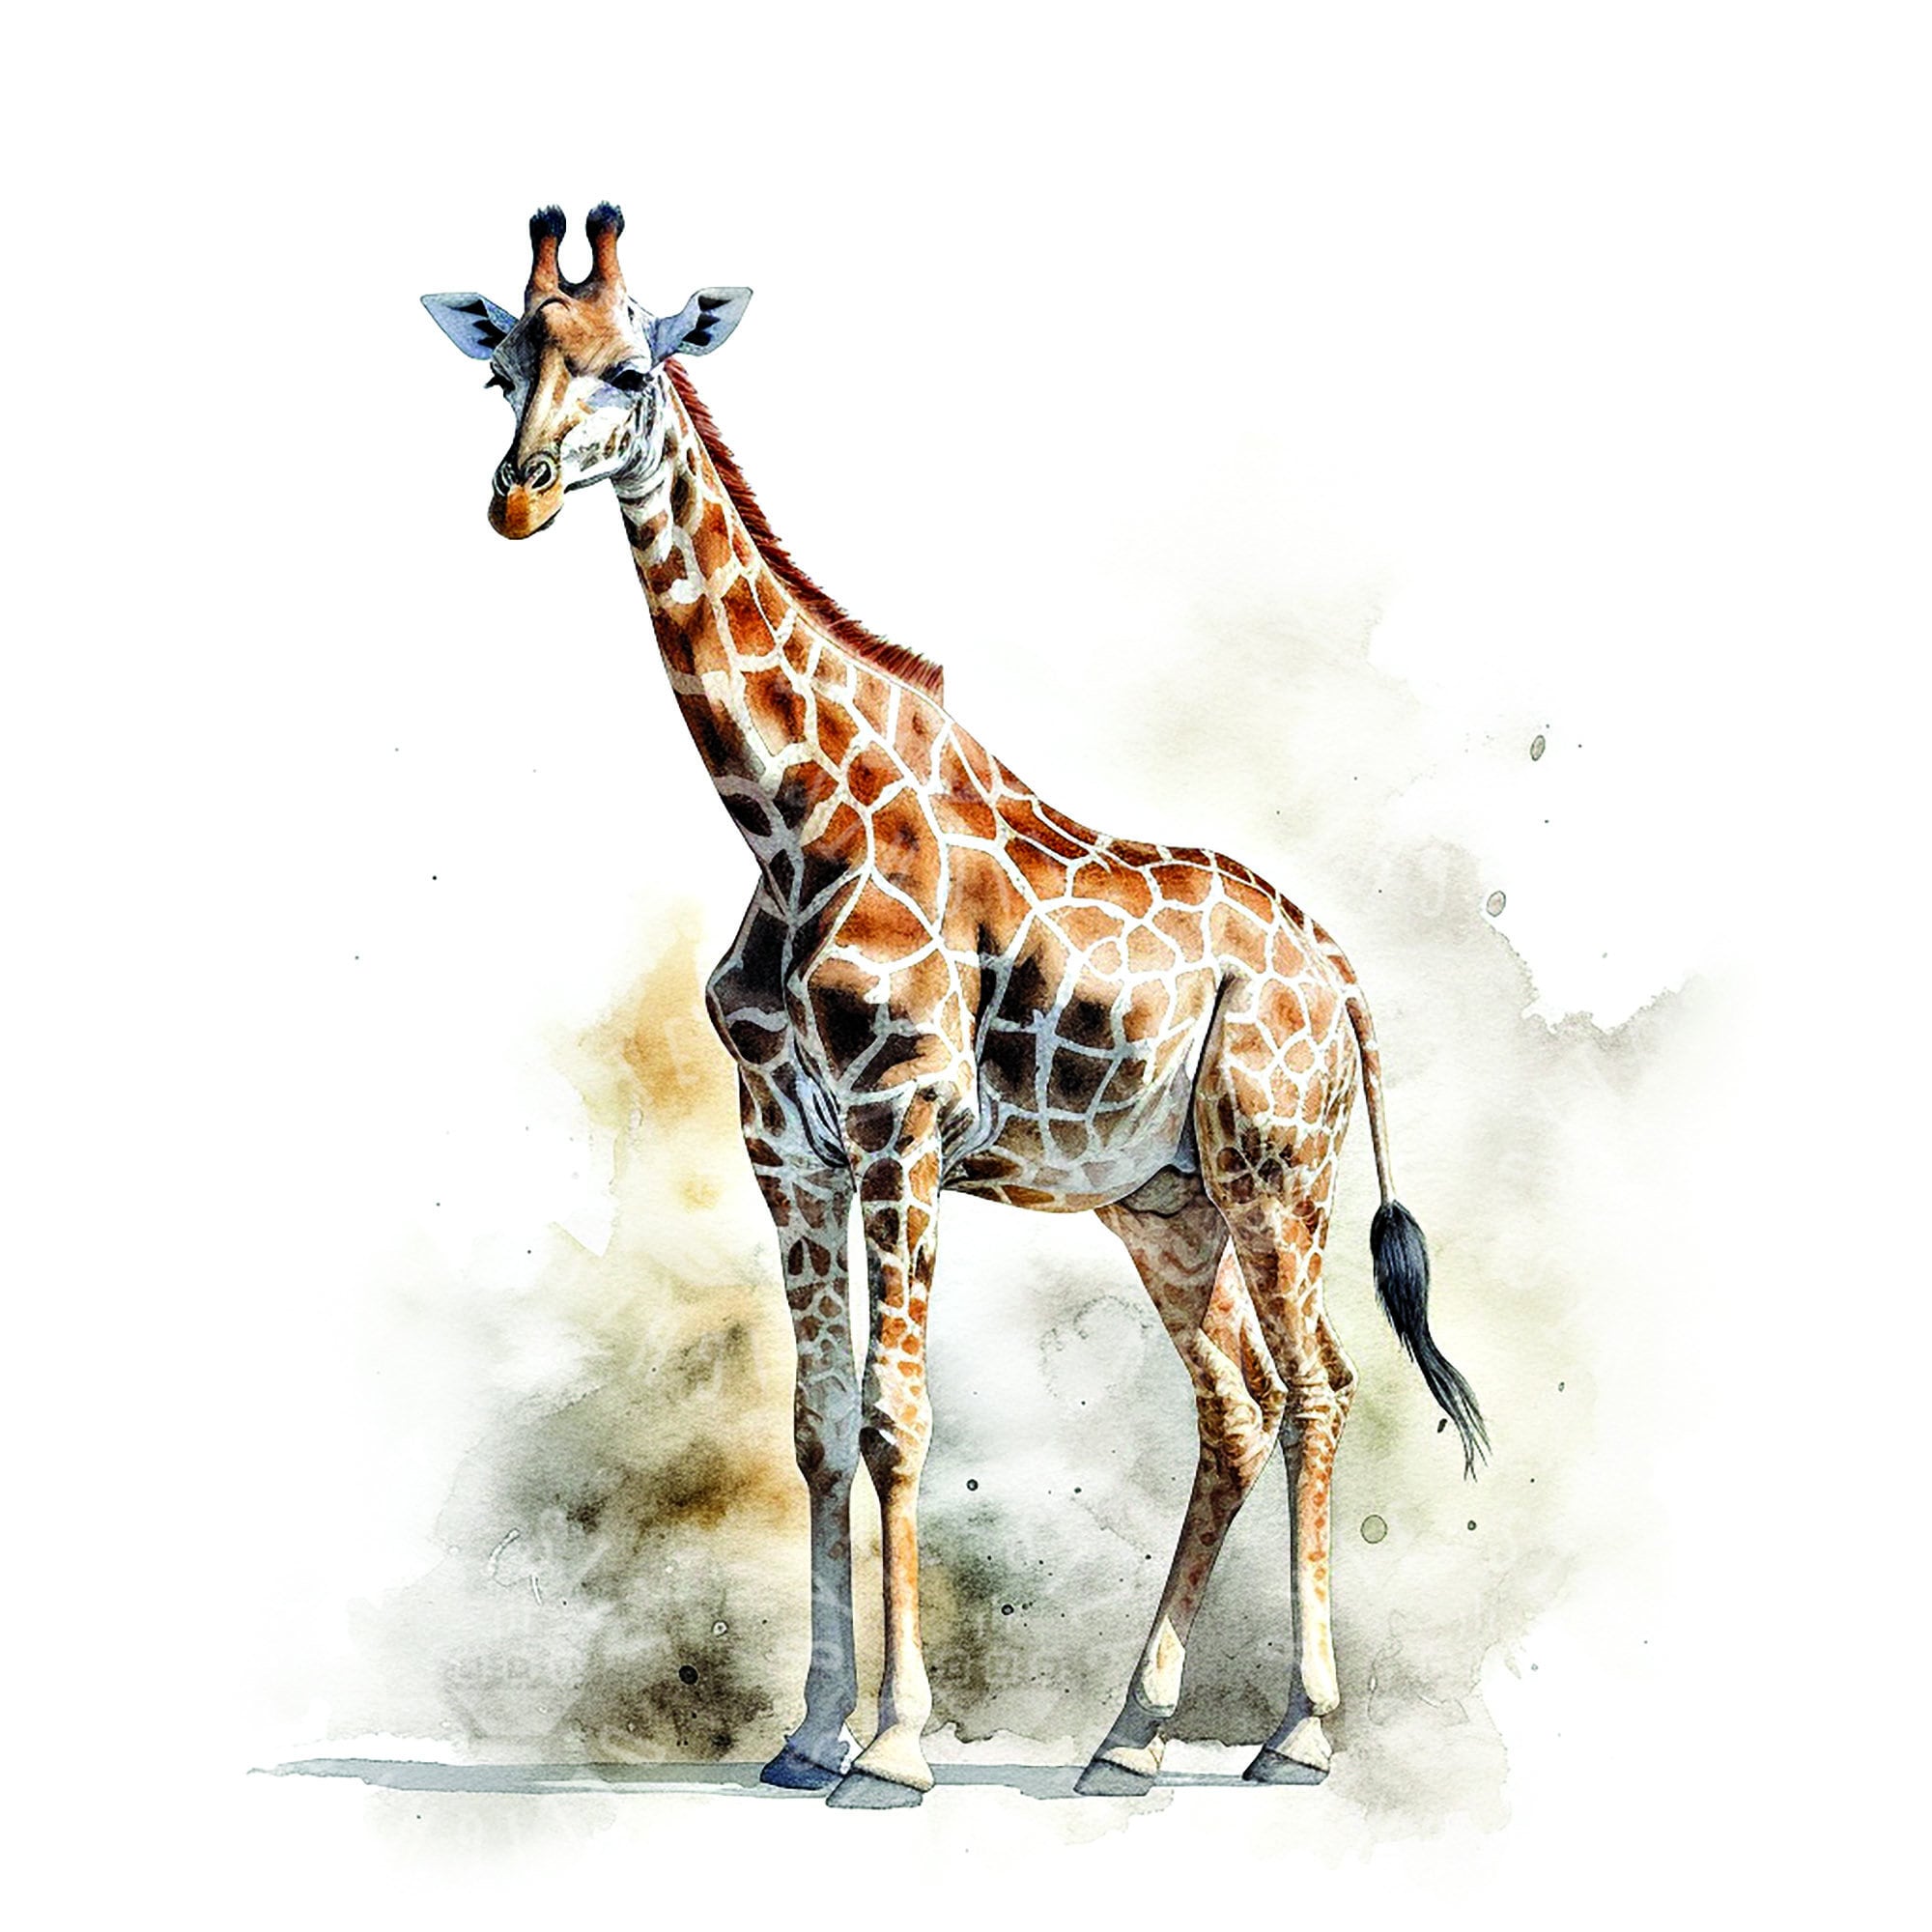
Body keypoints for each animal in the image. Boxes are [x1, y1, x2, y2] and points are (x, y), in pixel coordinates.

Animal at [422, 204, 1487, 1806]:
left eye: (630, 368)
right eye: (506, 373)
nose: (518, 497)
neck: (789, 821)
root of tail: (1339, 970)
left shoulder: (901, 1121)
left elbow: (895, 1419)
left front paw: (897, 1748)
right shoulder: (786, 1146)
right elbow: (813, 1425)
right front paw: (806, 1737)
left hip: (1273, 1165)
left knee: (1321, 1387)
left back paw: (1297, 1732)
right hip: (1161, 1199)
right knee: (1235, 1408)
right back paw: (1129, 1737)